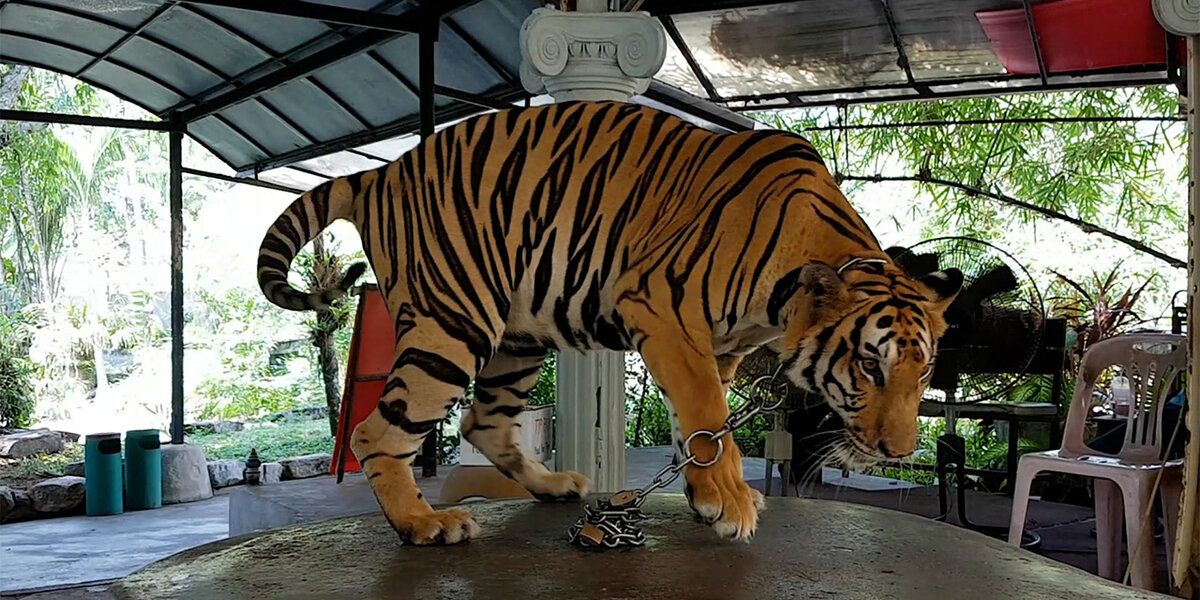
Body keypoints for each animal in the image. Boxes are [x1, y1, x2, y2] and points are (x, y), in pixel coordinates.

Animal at [256, 101, 962, 545]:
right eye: (869, 365)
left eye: (924, 370)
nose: (901, 452)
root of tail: (381, 170)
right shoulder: (662, 308)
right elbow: (706, 411)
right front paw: (729, 499)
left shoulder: (720, 346)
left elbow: (696, 422)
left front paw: (707, 494)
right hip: (453, 321)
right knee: (378, 432)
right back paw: (424, 524)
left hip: (516, 336)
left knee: (484, 423)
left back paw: (553, 486)